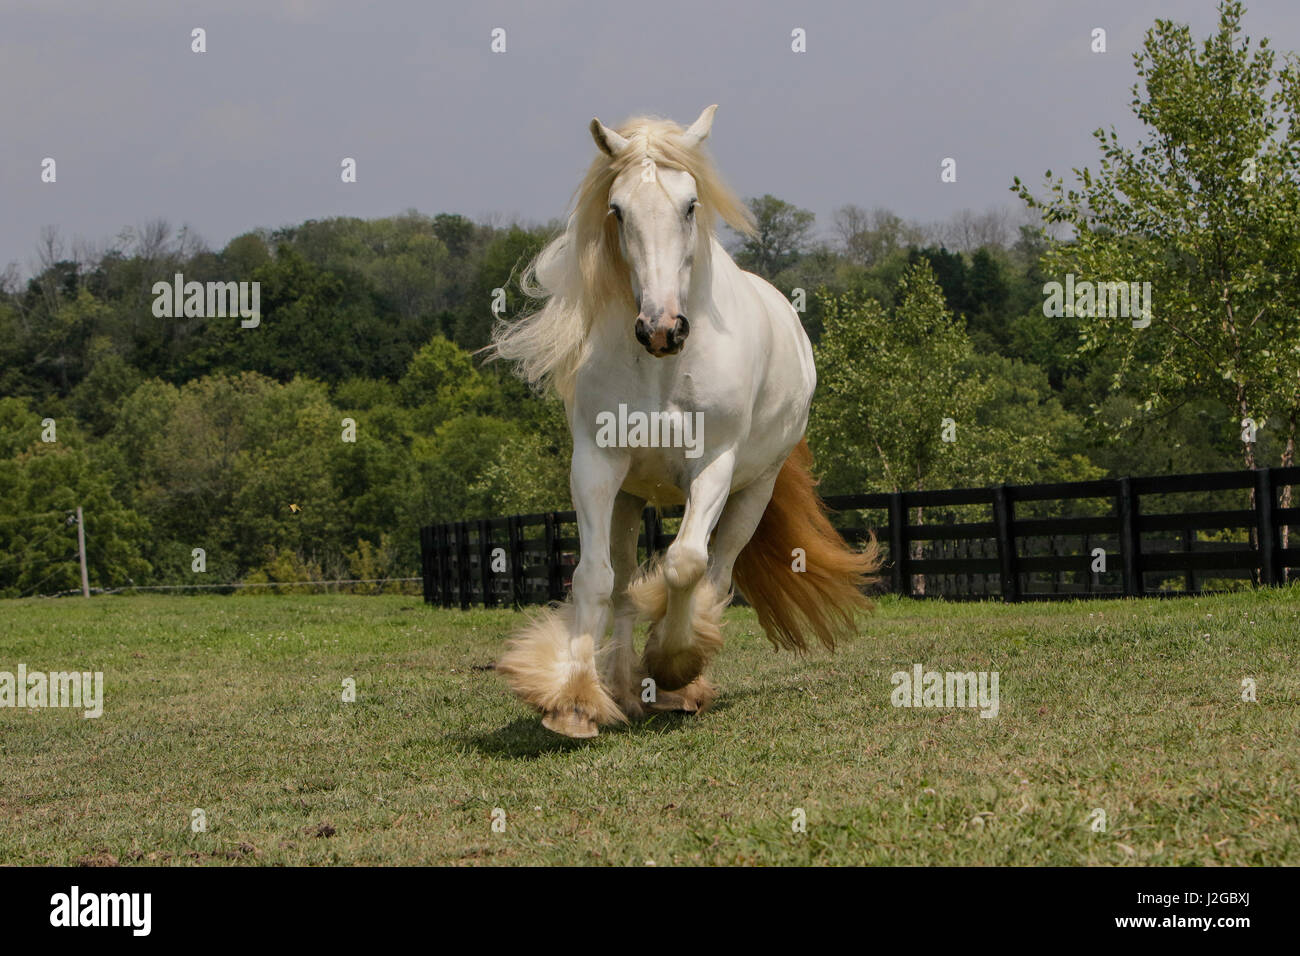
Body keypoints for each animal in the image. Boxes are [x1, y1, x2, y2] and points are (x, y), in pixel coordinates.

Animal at [488, 105, 881, 738]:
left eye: (690, 204)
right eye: (617, 209)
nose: (662, 328)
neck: (662, 369)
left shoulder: (713, 465)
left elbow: (684, 565)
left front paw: (671, 666)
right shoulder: (596, 465)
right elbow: (594, 578)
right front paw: (574, 699)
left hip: (753, 491)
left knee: (715, 576)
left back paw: (684, 684)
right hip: (629, 497)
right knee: (624, 585)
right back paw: (625, 691)